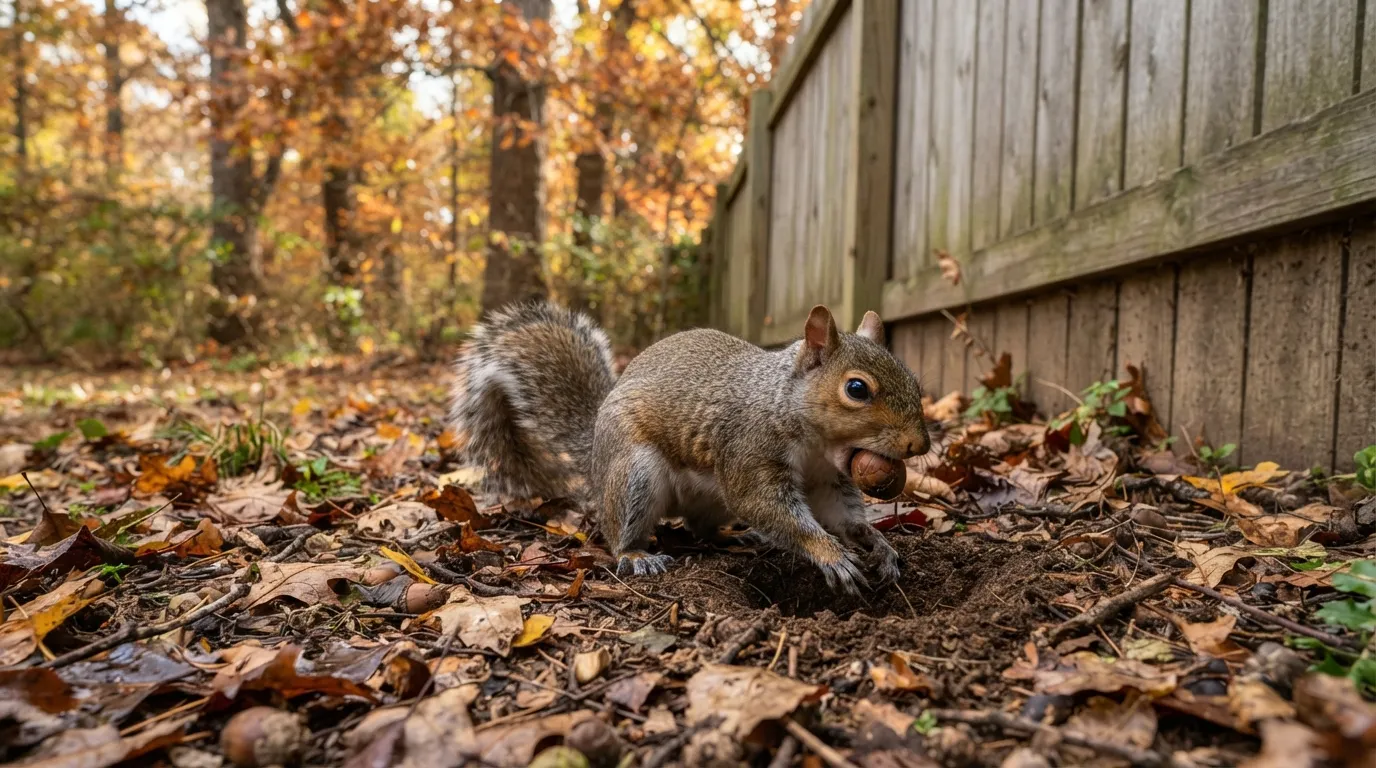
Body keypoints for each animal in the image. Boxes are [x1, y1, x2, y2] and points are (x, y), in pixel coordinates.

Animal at [449, 301, 931, 592]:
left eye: (913, 377)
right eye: (856, 389)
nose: (919, 443)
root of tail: (596, 456)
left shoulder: (827, 481)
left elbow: (843, 518)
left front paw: (876, 543)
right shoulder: (749, 451)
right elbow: (771, 509)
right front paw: (831, 555)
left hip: (709, 500)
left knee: (702, 528)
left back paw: (735, 536)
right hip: (635, 475)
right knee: (618, 532)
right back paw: (637, 556)